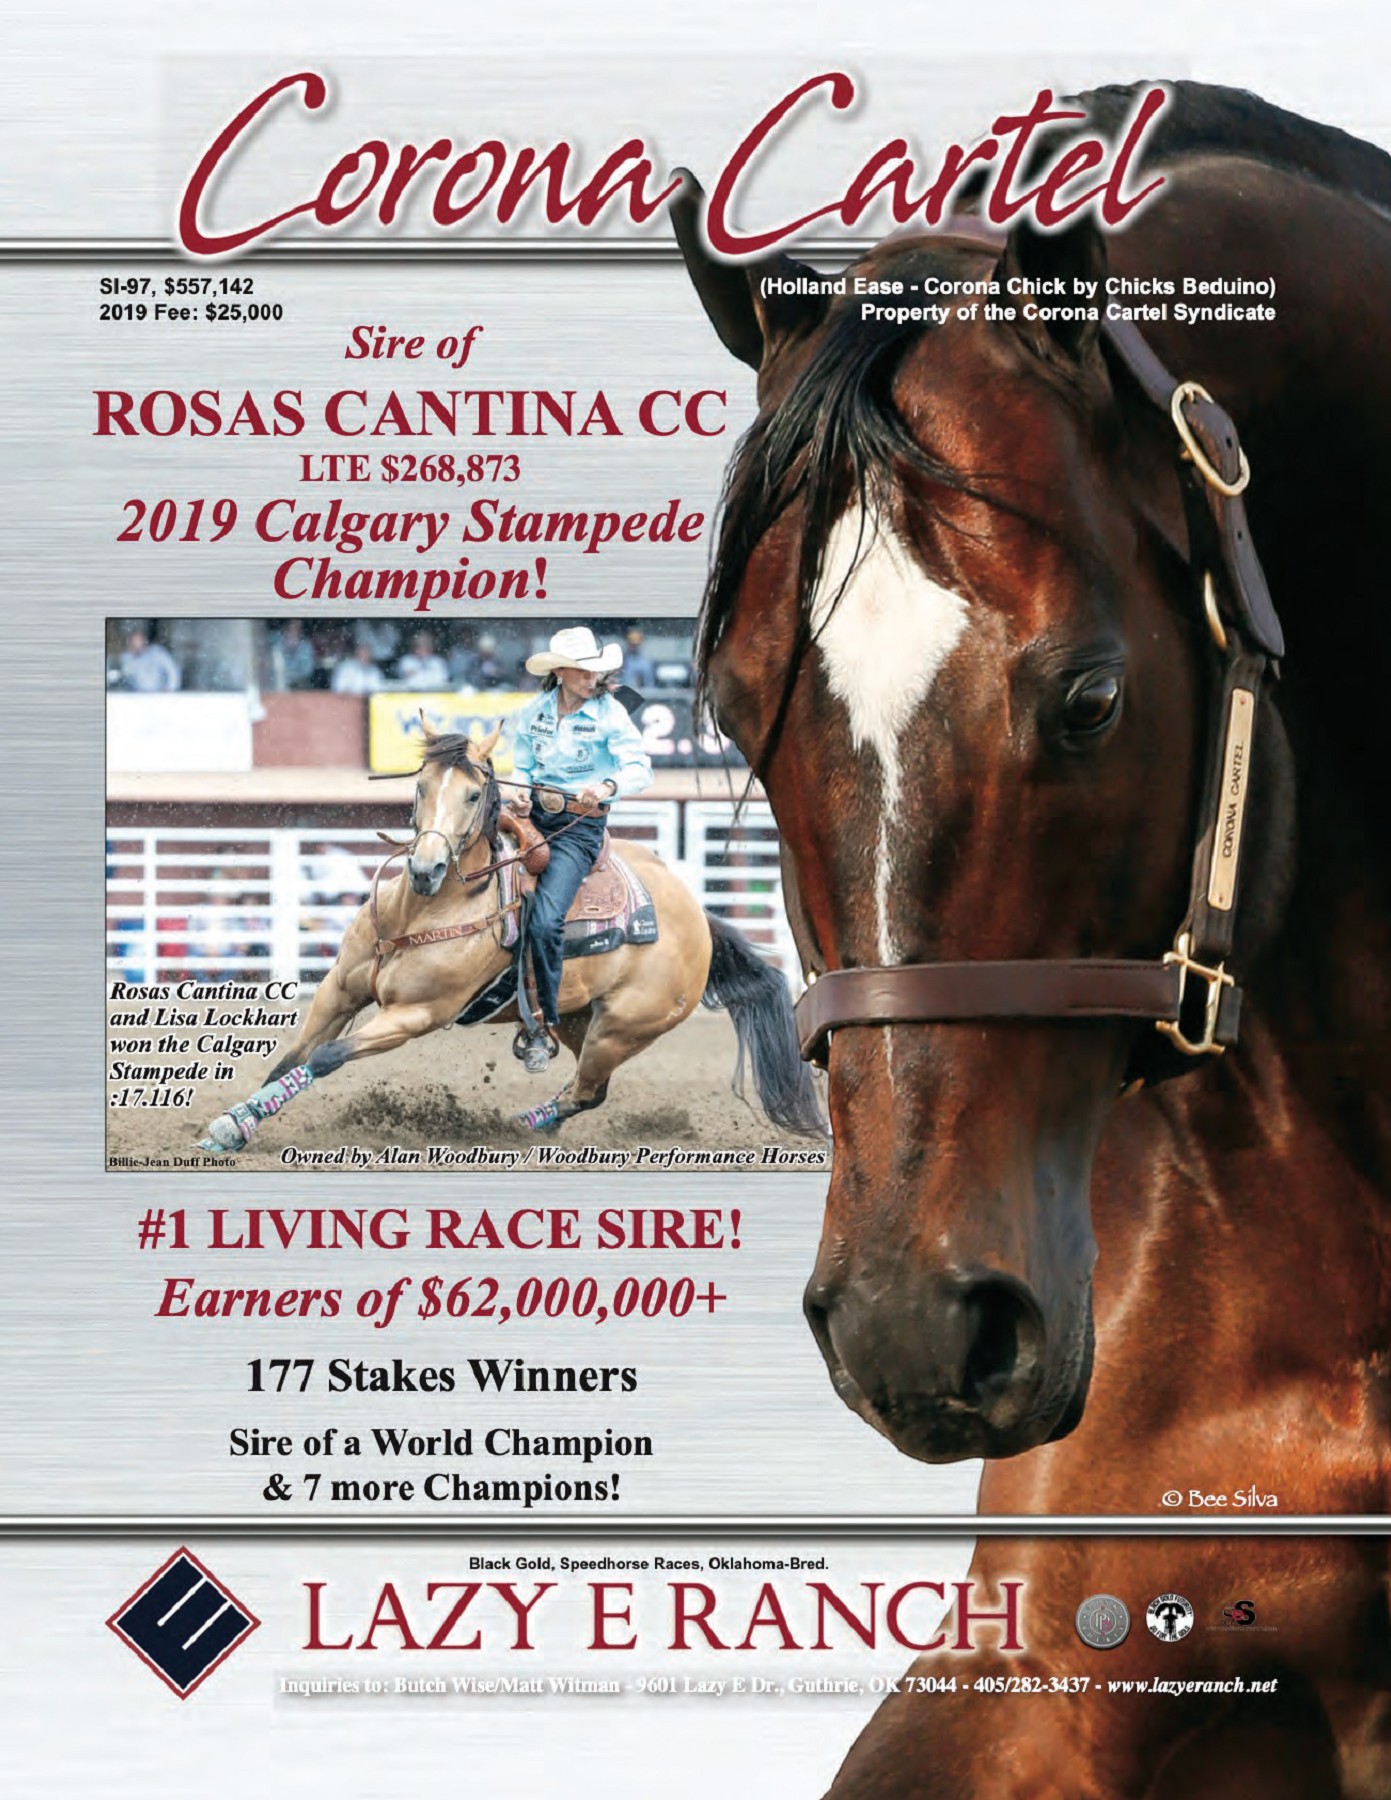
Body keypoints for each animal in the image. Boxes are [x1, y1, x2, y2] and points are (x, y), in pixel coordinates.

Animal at [196, 719, 822, 1150]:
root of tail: (697, 918)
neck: (419, 915)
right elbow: (289, 1060)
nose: (426, 869)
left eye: (474, 795)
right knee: (585, 1087)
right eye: (421, 787)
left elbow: (327, 1056)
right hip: (574, 1016)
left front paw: (237, 1124)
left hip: (622, 1028)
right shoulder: (338, 991)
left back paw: (519, 1125)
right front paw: (236, 1123)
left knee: (588, 1091)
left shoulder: (416, 1015)